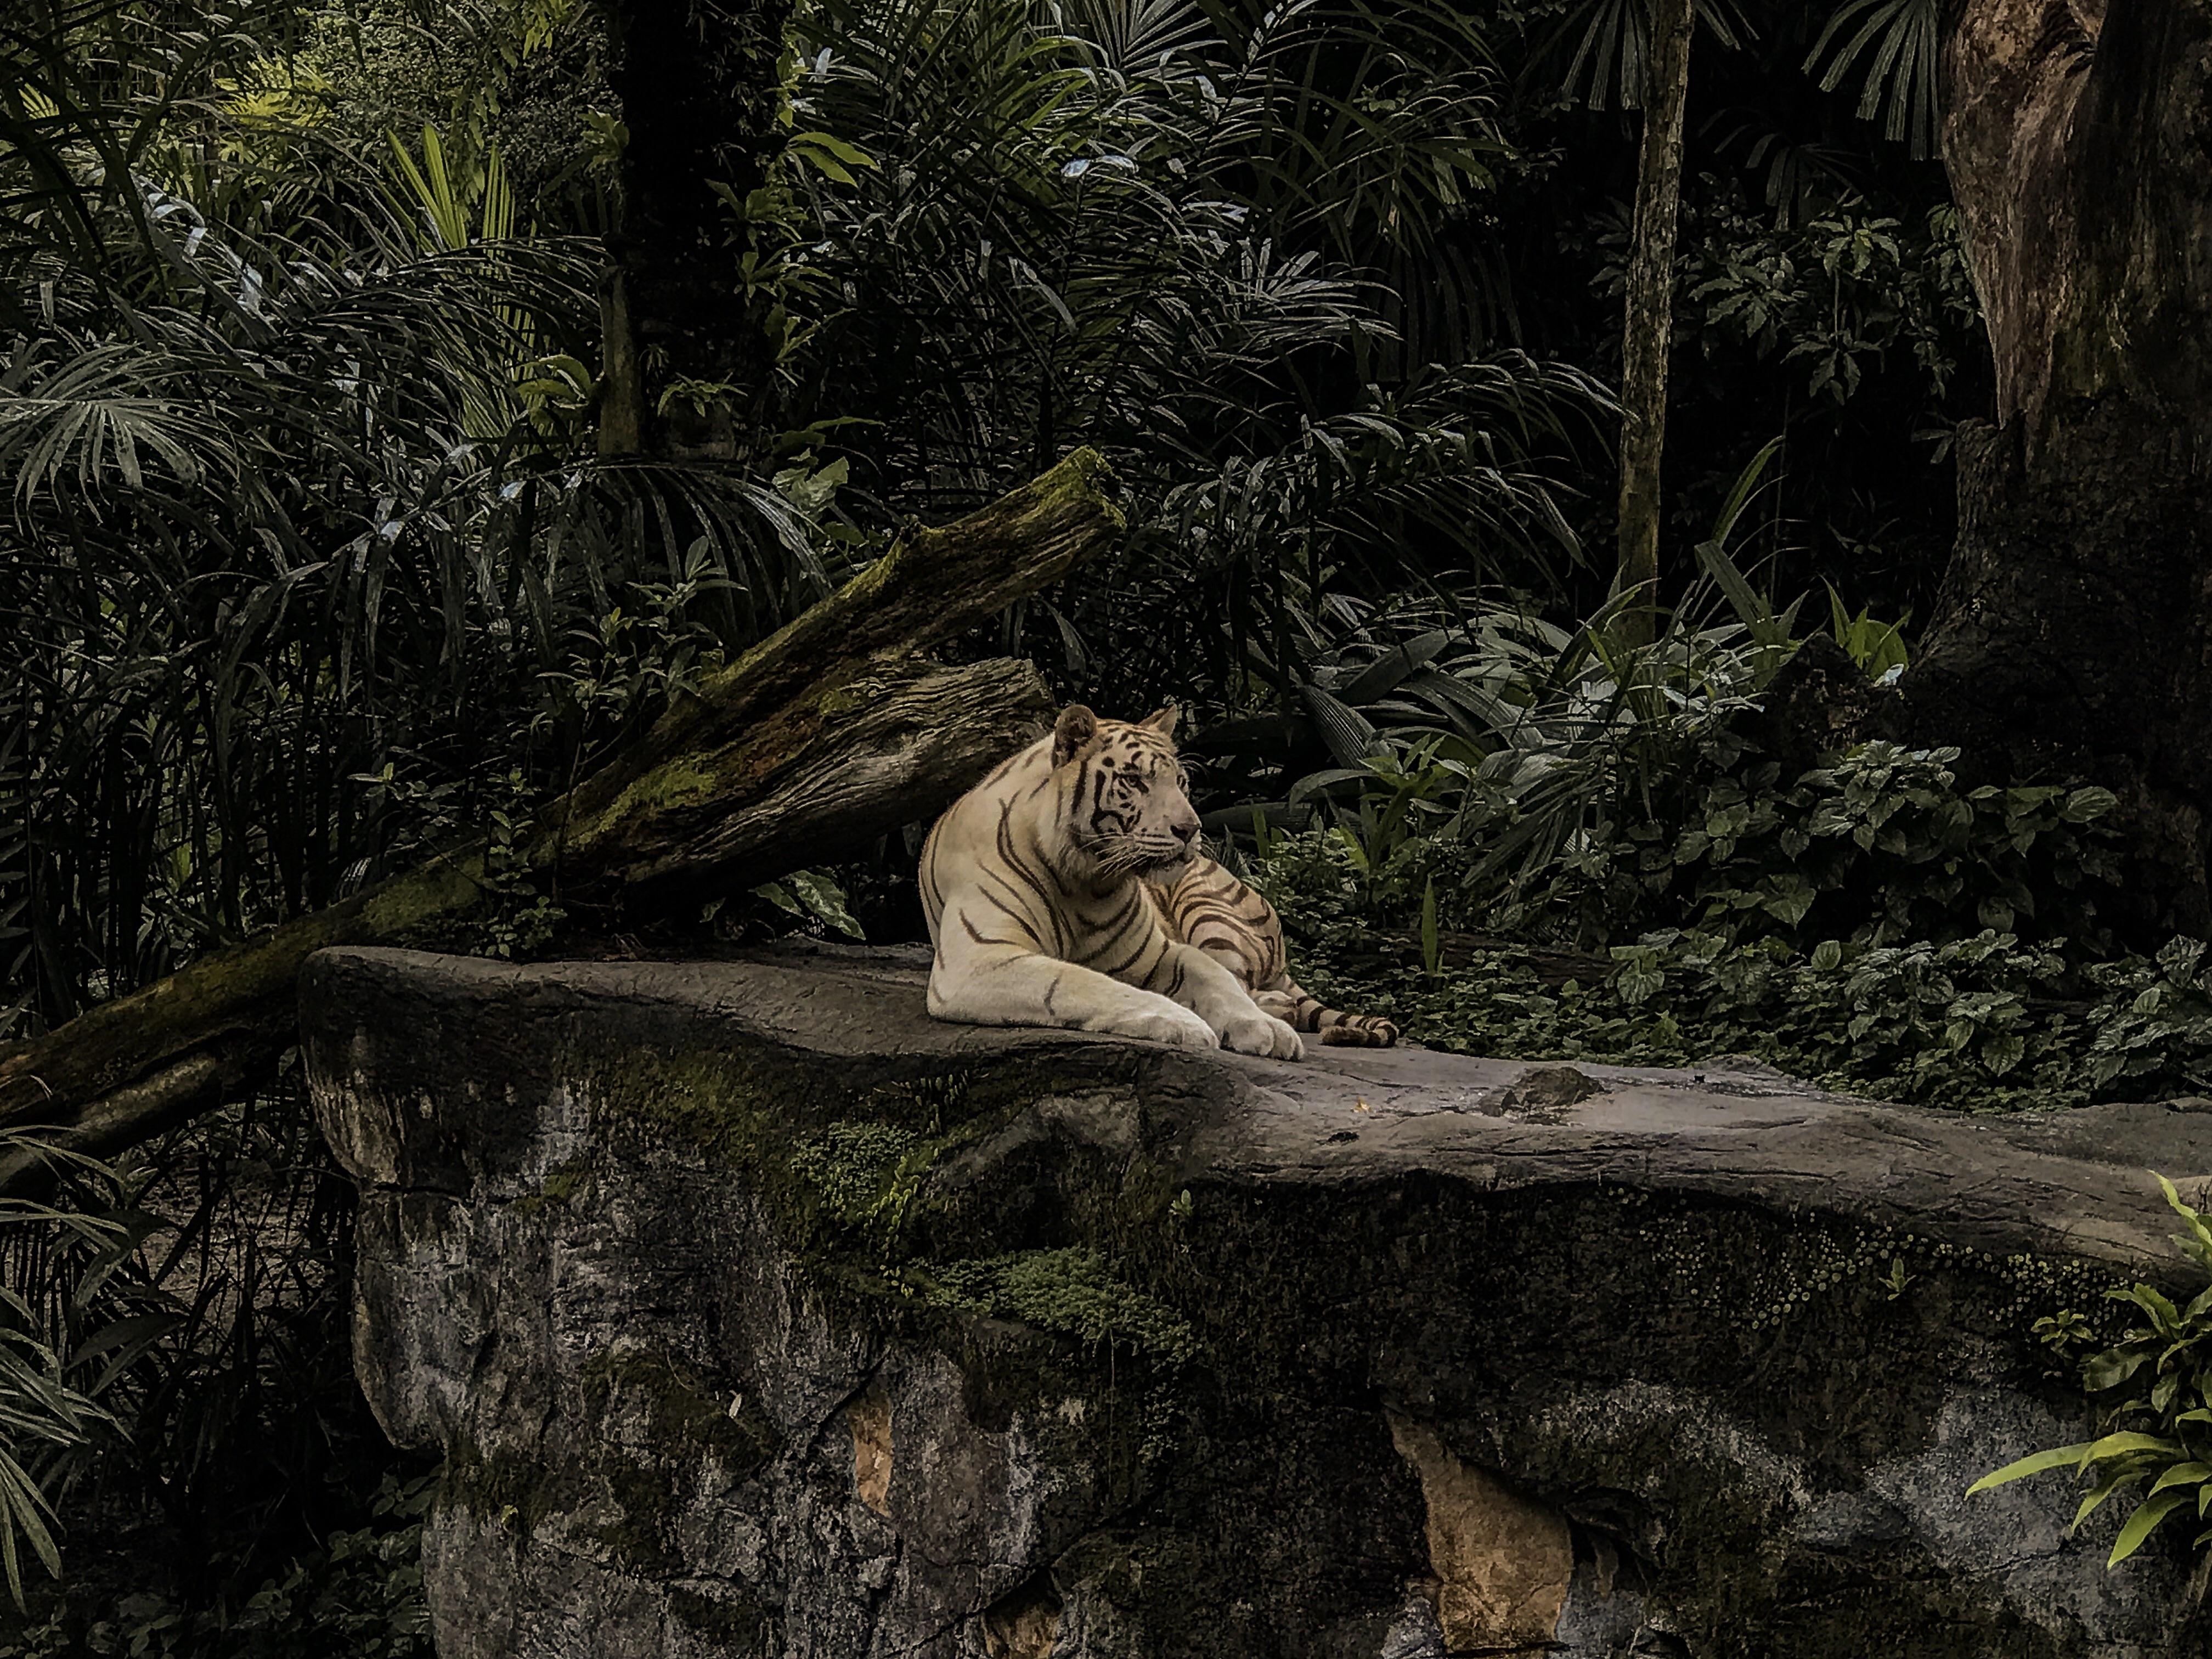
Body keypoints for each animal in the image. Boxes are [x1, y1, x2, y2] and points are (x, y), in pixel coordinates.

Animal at [918, 702, 1399, 1056]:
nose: (1191, 830)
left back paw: (1276, 1010)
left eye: (1181, 781)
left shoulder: (1159, 952)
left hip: (1205, 907)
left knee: (1246, 977)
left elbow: (1213, 975)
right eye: (1133, 780)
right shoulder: (980, 958)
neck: (1086, 879)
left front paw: (1263, 1028)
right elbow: (1079, 982)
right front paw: (1185, 1023)